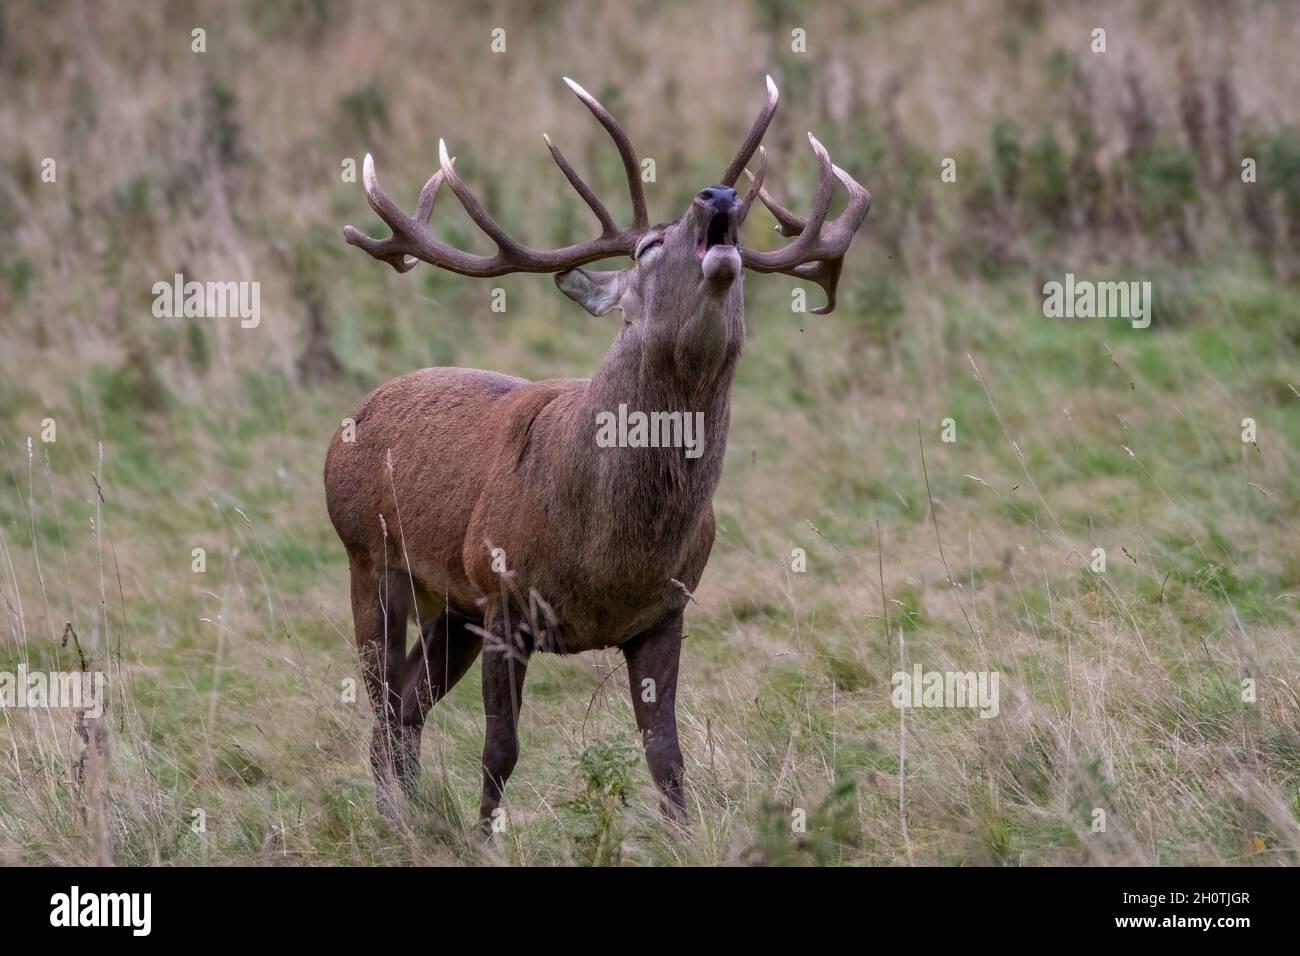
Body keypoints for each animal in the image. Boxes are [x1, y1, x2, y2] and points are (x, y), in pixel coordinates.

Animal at [325, 75, 869, 828]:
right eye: (645, 249)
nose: (718, 197)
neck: (609, 549)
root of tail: (351, 417)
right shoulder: (504, 597)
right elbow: (500, 752)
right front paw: (484, 838)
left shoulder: (666, 612)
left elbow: (667, 759)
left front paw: (684, 837)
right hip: (369, 553)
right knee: (380, 702)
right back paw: (395, 822)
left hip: (452, 604)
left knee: (406, 705)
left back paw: (411, 814)